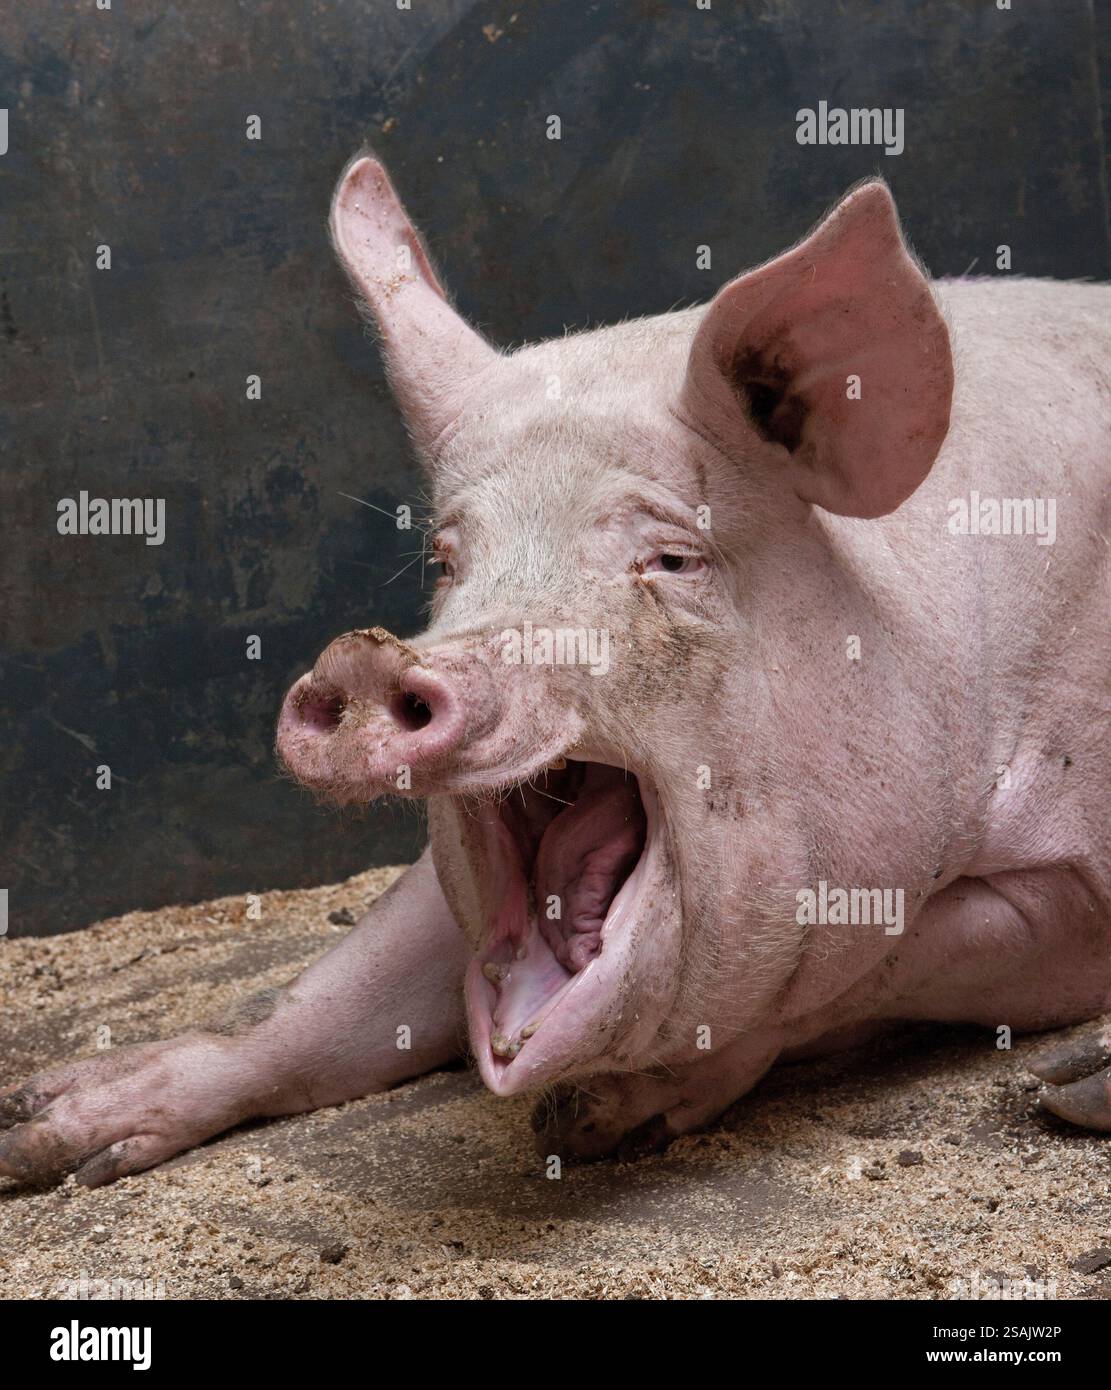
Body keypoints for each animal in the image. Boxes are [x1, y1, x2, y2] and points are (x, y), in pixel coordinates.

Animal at [2, 154, 1109, 1187]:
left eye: (669, 559)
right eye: (445, 562)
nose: (363, 660)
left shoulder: (1071, 892)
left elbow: (865, 973)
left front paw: (586, 1120)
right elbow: (339, 991)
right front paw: (39, 1133)